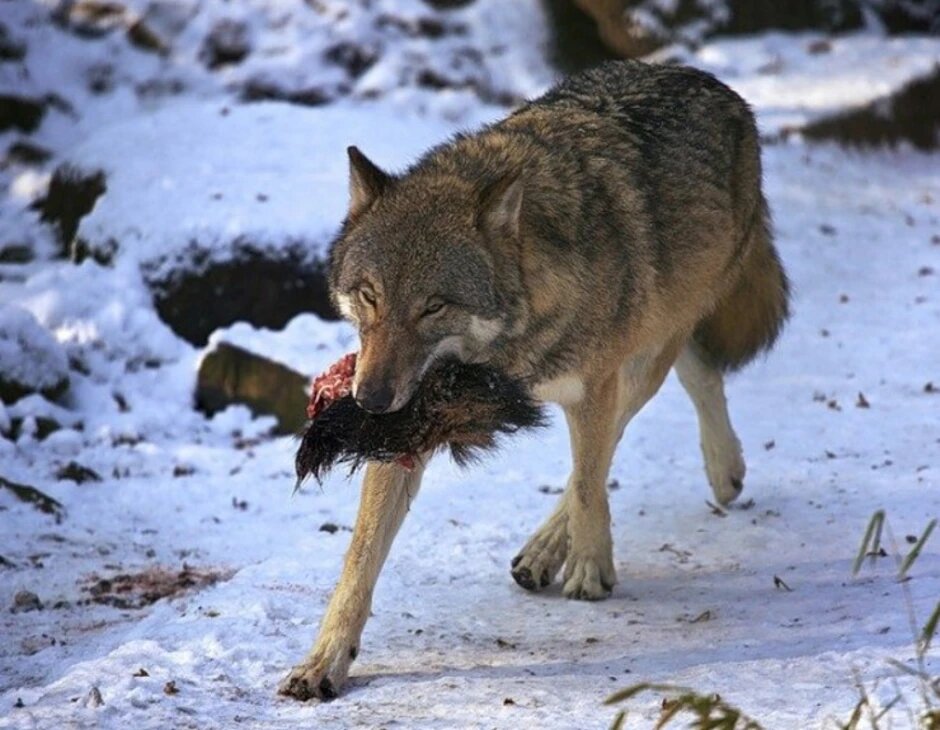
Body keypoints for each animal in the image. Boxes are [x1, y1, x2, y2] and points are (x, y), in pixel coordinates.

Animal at [278, 61, 784, 700]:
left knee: (670, 392)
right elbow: (360, 558)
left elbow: (591, 483)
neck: (507, 345)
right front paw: (324, 661)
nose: (368, 400)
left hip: (642, 356)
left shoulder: (592, 388)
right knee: (690, 375)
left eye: (433, 307)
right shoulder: (408, 426)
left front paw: (591, 569)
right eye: (371, 296)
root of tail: (714, 83)